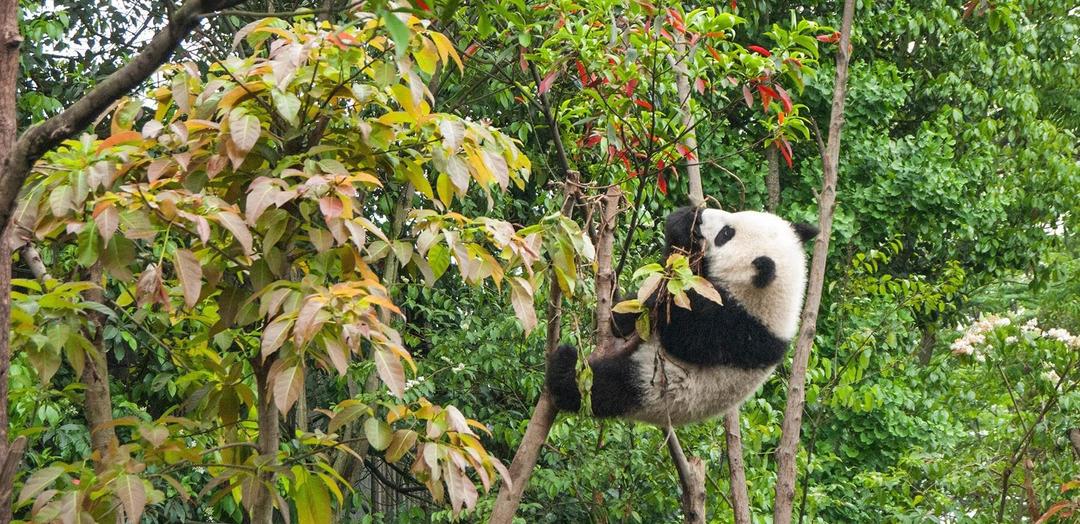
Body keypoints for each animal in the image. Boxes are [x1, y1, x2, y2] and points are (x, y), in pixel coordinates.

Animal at [546, 206, 818, 426]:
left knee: (603, 387)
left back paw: (564, 368)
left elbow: (681, 333)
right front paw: (683, 220)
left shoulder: (737, 330)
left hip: (652, 388)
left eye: (726, 234)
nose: (703, 214)